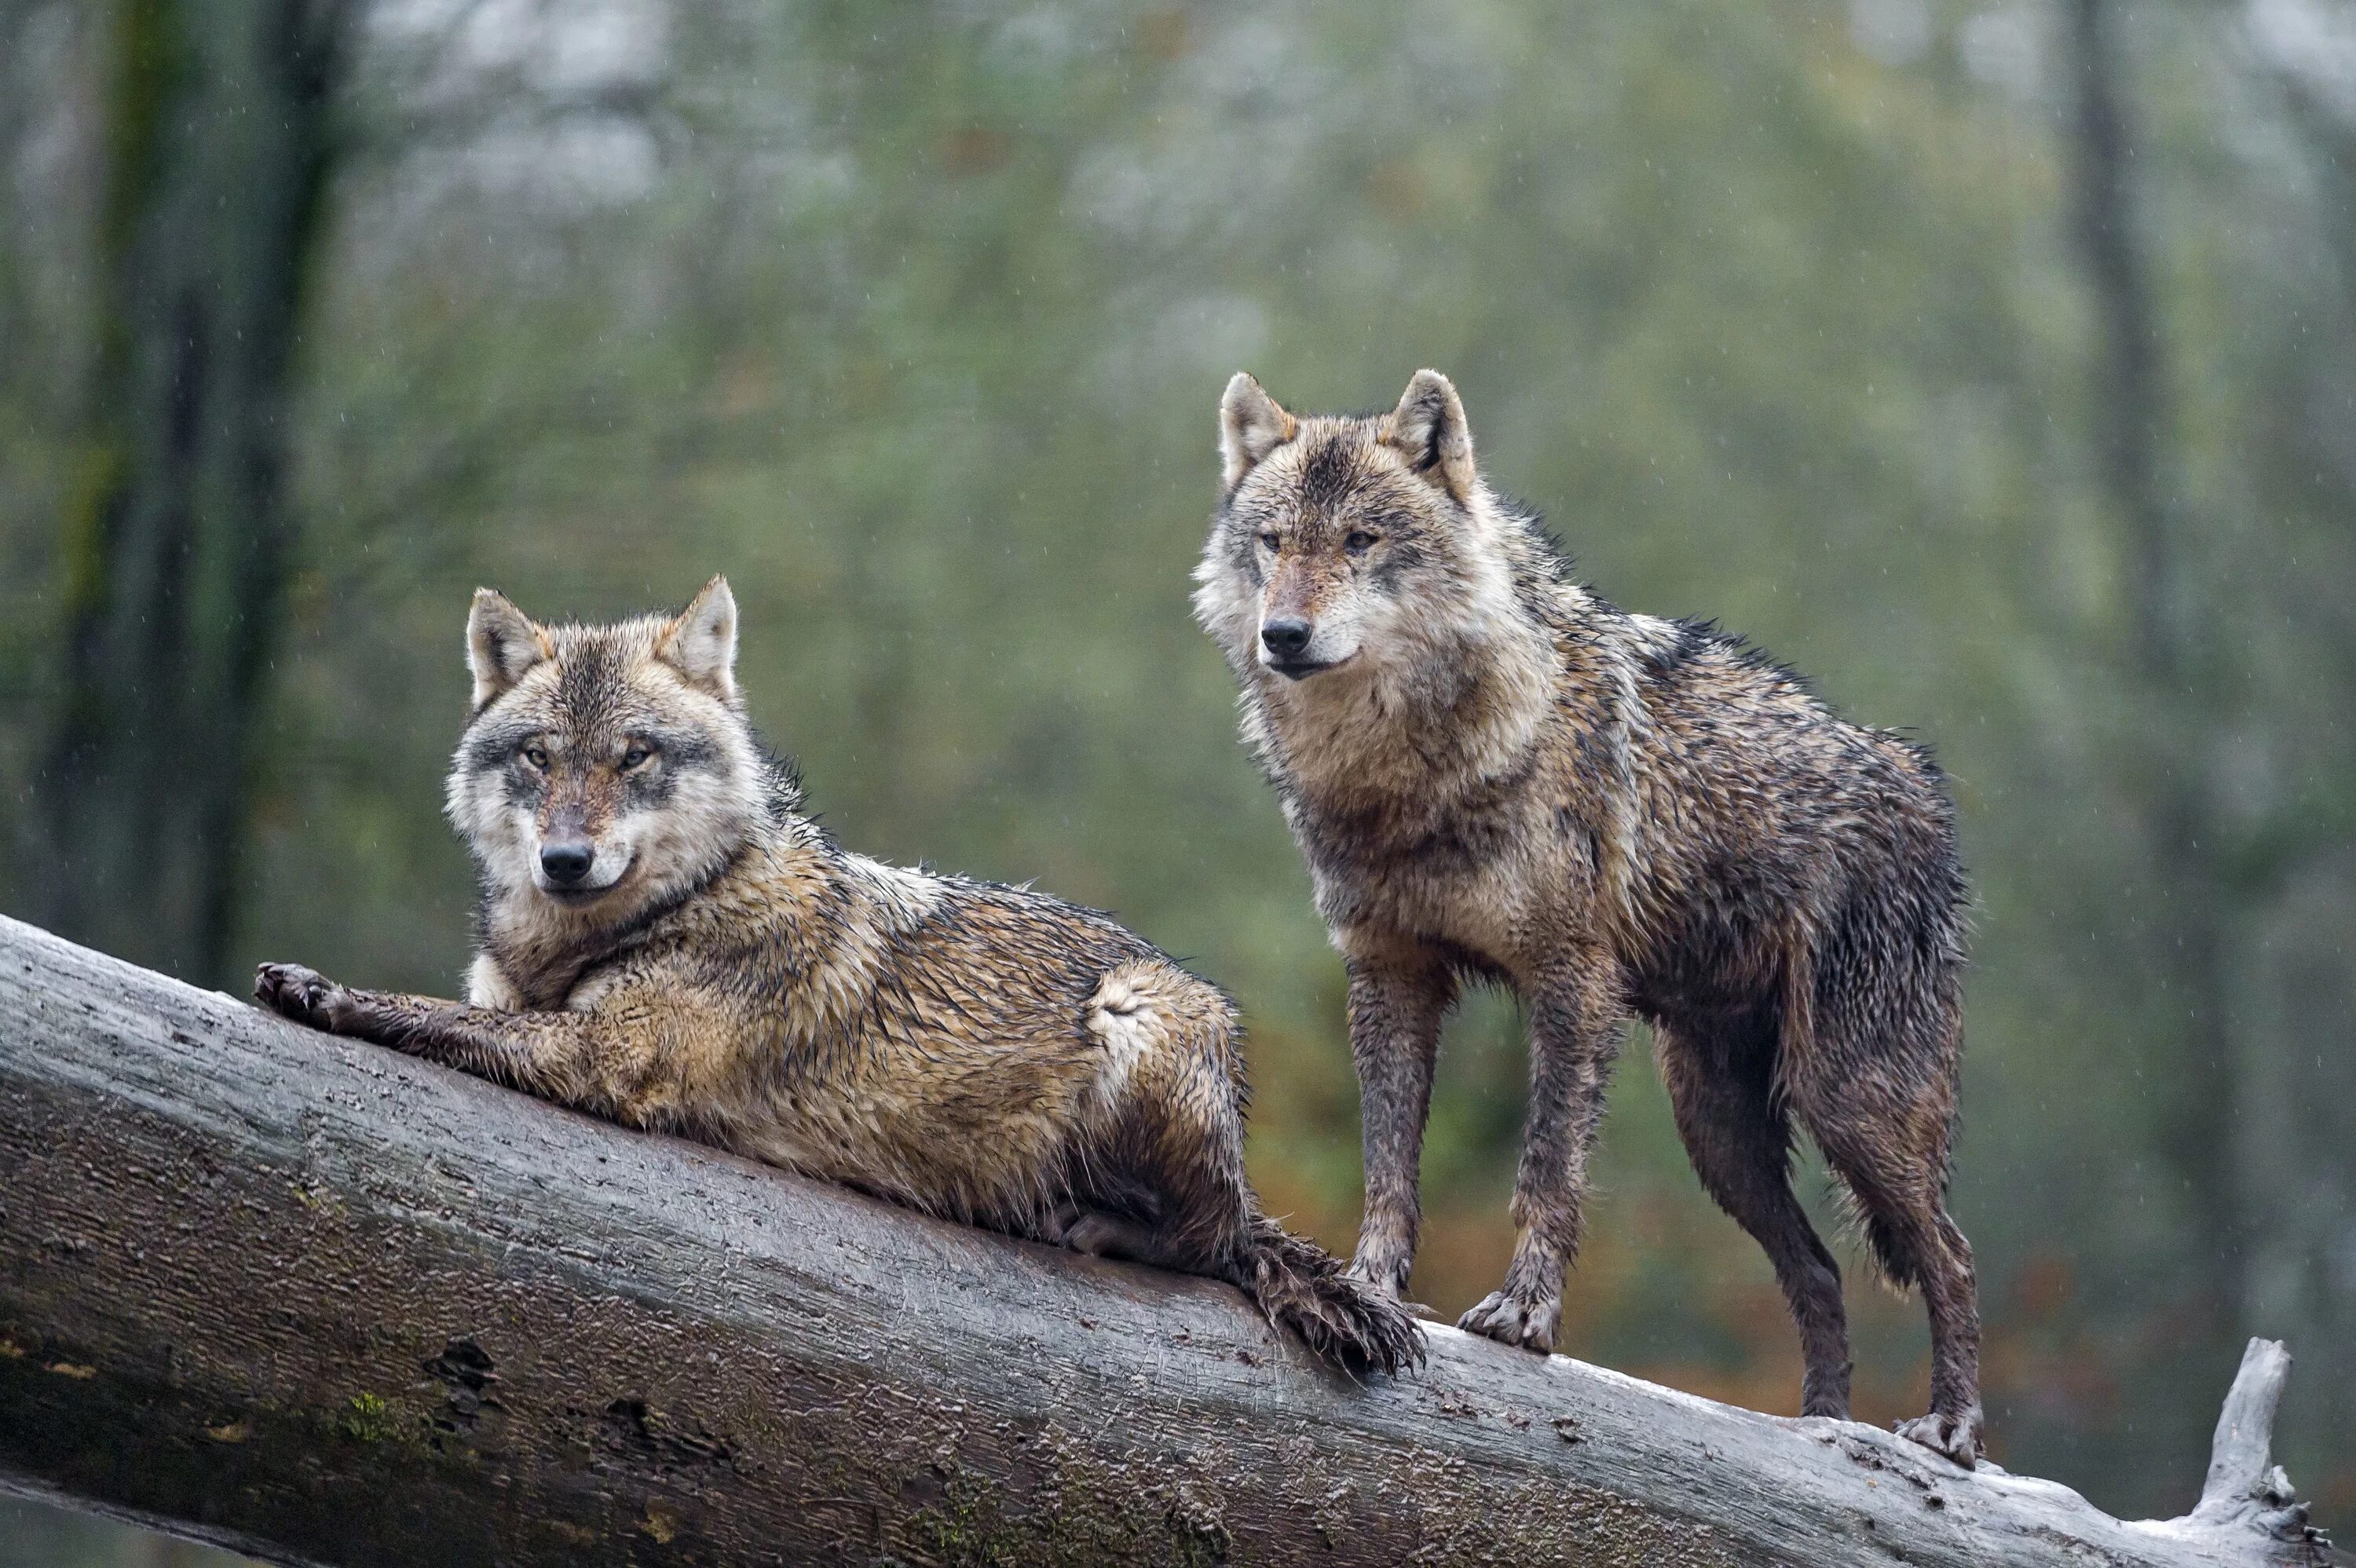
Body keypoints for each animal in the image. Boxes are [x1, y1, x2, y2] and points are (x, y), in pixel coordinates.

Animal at [253, 572, 1414, 1365]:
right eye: (540, 757)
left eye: (634, 756)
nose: (565, 859)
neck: (664, 908)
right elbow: (459, 1007)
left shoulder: (607, 1054)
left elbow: (422, 1011)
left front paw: (322, 990)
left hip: (1140, 1019)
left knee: (1212, 1240)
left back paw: (1095, 1222)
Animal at [1187, 367, 1979, 1450]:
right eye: (1274, 541)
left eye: (1359, 540)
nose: (1283, 635)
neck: (1410, 773)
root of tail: (1923, 787)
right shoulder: (1389, 975)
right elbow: (1388, 1168)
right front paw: (1370, 1289)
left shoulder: (1571, 983)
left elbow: (1547, 1174)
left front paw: (1525, 1316)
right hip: (1717, 1131)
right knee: (1819, 1269)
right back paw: (1818, 1431)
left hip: (1849, 1103)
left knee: (1952, 1254)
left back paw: (1951, 1432)